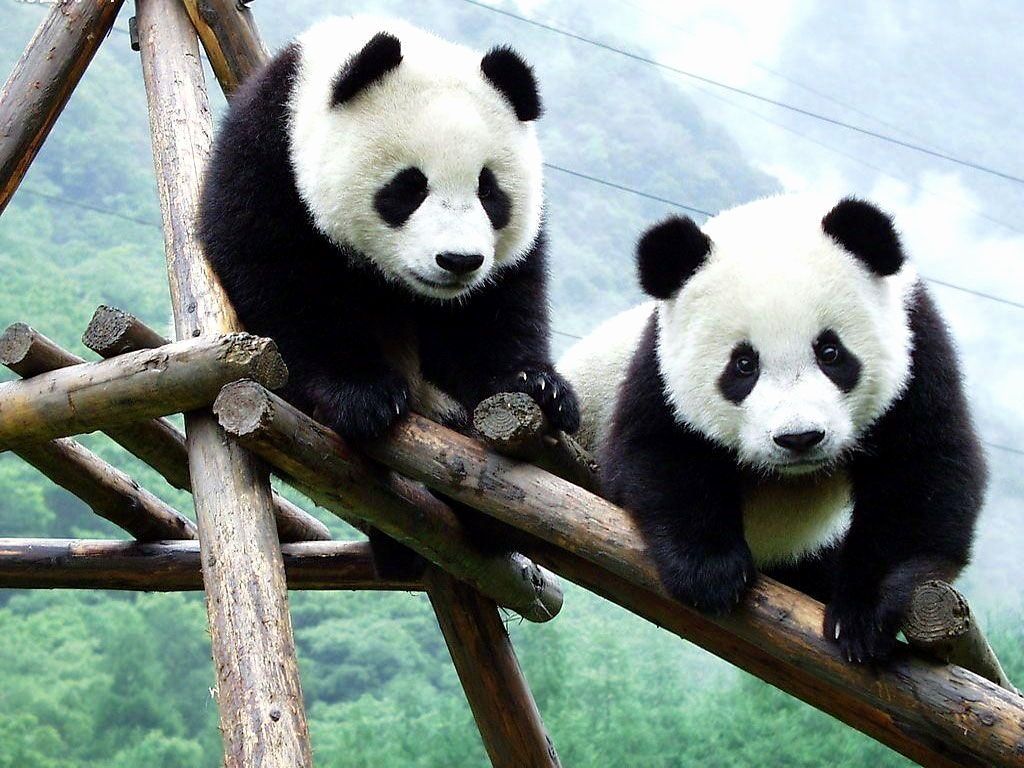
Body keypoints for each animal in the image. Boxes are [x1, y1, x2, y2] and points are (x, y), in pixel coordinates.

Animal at [199, 16, 579, 443]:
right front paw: (362, 394)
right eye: (410, 187)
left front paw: (537, 383)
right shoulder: (269, 158)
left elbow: (498, 305)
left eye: (488, 190)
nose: (458, 261)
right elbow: (283, 278)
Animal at [559, 194, 987, 662]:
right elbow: (656, 452)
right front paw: (710, 572)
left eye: (830, 352)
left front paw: (863, 616)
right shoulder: (659, 366)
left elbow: (921, 473)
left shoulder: (918, 346)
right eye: (743, 365)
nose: (799, 438)